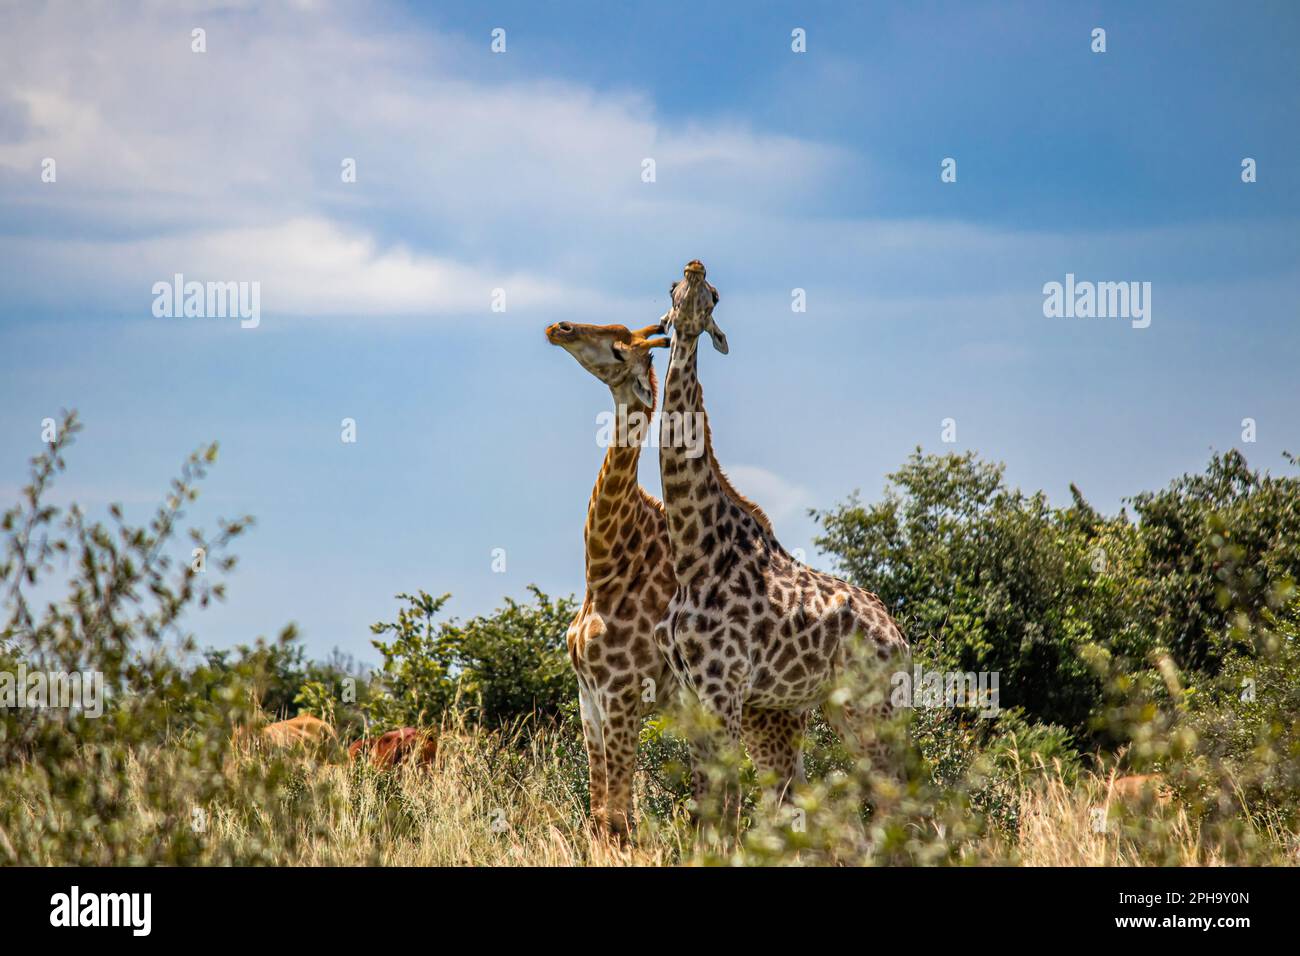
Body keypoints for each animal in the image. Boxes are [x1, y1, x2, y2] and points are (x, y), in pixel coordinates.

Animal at [545, 320, 680, 839]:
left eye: (621, 351)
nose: (558, 327)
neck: (603, 568)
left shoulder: (623, 694)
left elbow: (620, 817)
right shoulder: (588, 697)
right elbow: (599, 812)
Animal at [654, 260, 909, 823]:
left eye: (715, 296)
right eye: (672, 288)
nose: (695, 266)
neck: (691, 555)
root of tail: (900, 638)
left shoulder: (724, 687)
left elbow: (726, 802)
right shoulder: (690, 693)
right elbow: (707, 801)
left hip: (872, 702)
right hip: (835, 705)